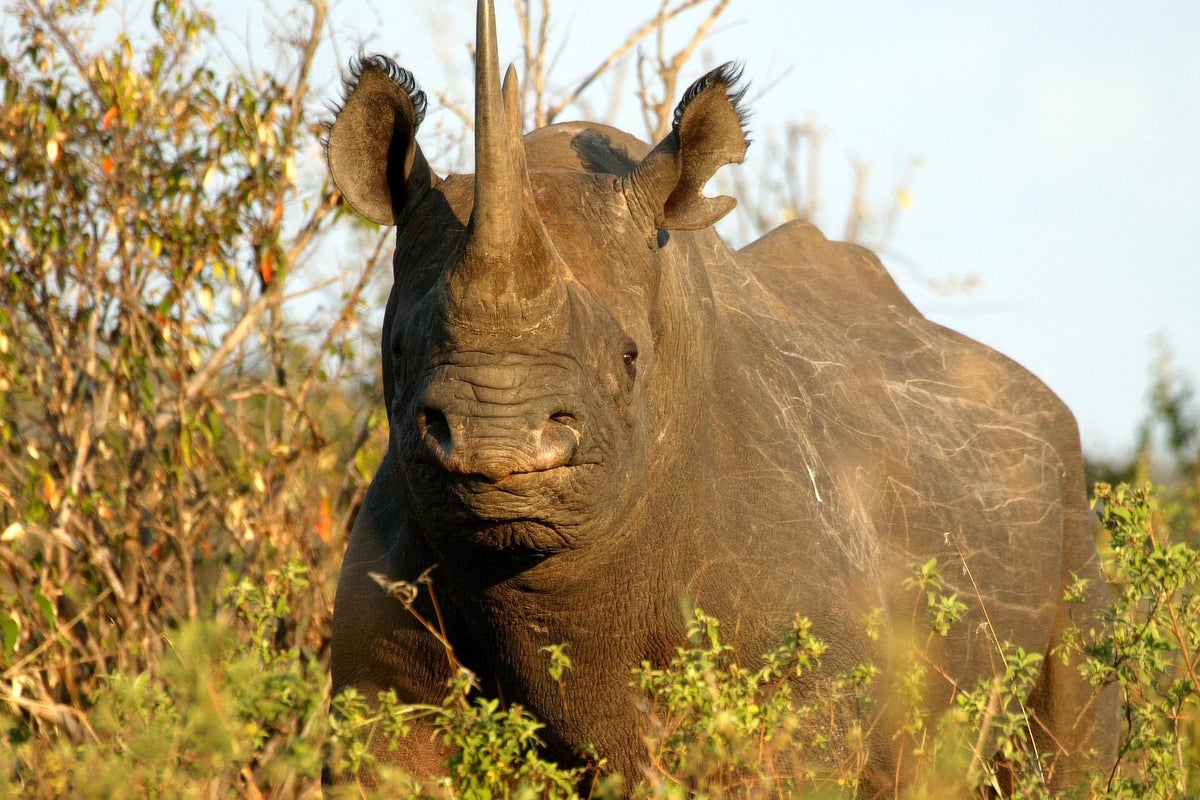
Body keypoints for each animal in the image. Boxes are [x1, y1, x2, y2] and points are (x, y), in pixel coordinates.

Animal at [325, 0, 1117, 792]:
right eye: (397, 352)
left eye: (629, 358)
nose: (496, 434)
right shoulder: (380, 671)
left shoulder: (799, 698)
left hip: (1066, 502)